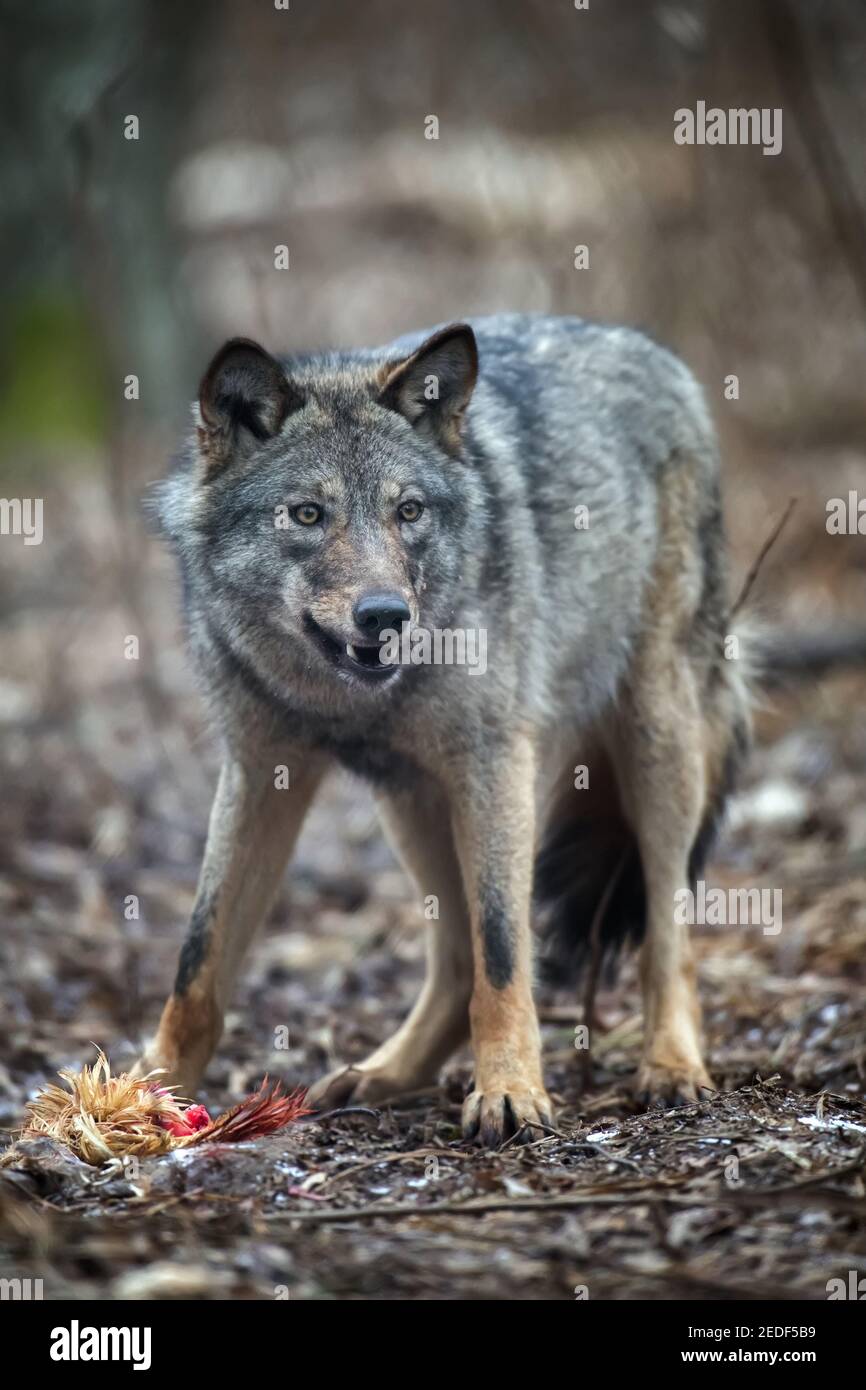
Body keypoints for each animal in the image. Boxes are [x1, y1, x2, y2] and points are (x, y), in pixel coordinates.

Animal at [138, 313, 750, 1147]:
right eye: (307, 514)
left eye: (409, 512)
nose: (385, 615)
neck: (346, 703)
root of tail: (647, 347)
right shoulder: (260, 774)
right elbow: (197, 962)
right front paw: (139, 1096)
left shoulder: (493, 763)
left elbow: (505, 950)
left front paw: (512, 1093)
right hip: (412, 802)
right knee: (455, 960)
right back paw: (385, 1074)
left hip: (656, 740)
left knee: (668, 931)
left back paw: (672, 1066)